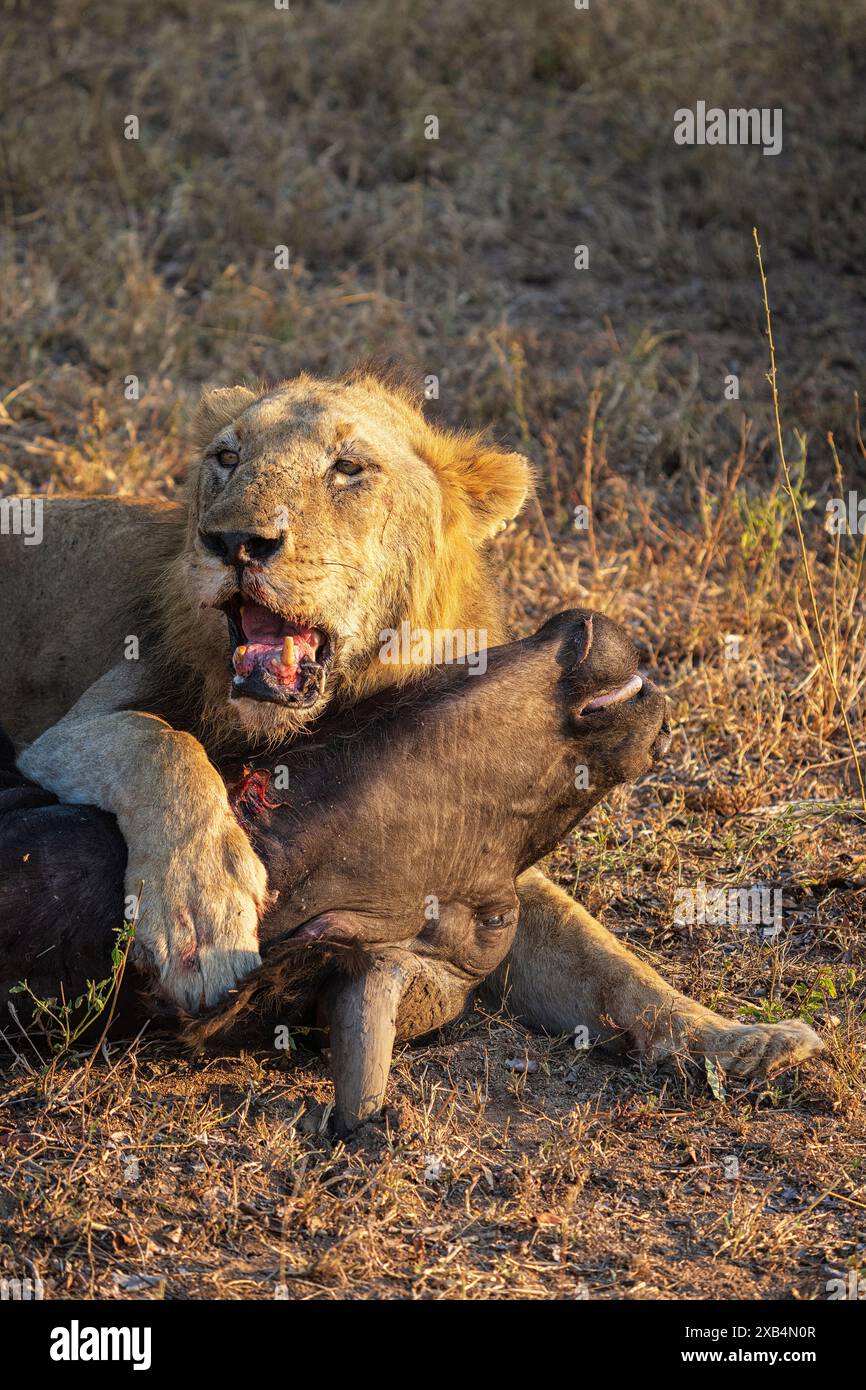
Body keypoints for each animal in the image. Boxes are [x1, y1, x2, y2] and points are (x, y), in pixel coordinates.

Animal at [0, 369, 820, 1079]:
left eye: (348, 468)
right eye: (226, 459)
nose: (233, 542)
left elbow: (604, 959)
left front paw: (735, 1040)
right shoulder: (68, 735)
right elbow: (160, 740)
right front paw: (200, 912)